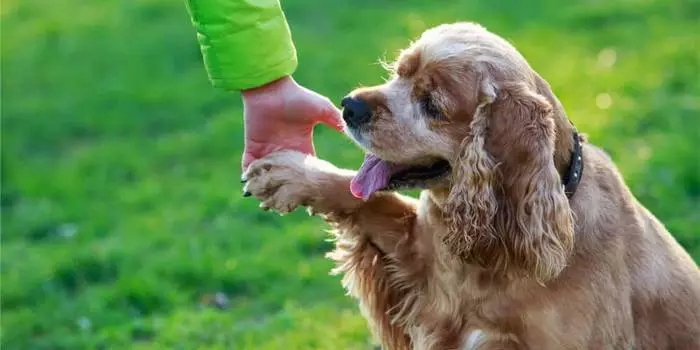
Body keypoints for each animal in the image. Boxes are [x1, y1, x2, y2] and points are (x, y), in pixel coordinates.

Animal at [242, 22, 700, 350]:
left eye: (432, 105)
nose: (350, 105)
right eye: (398, 74)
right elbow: (371, 202)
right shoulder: (420, 268)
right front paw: (289, 173)